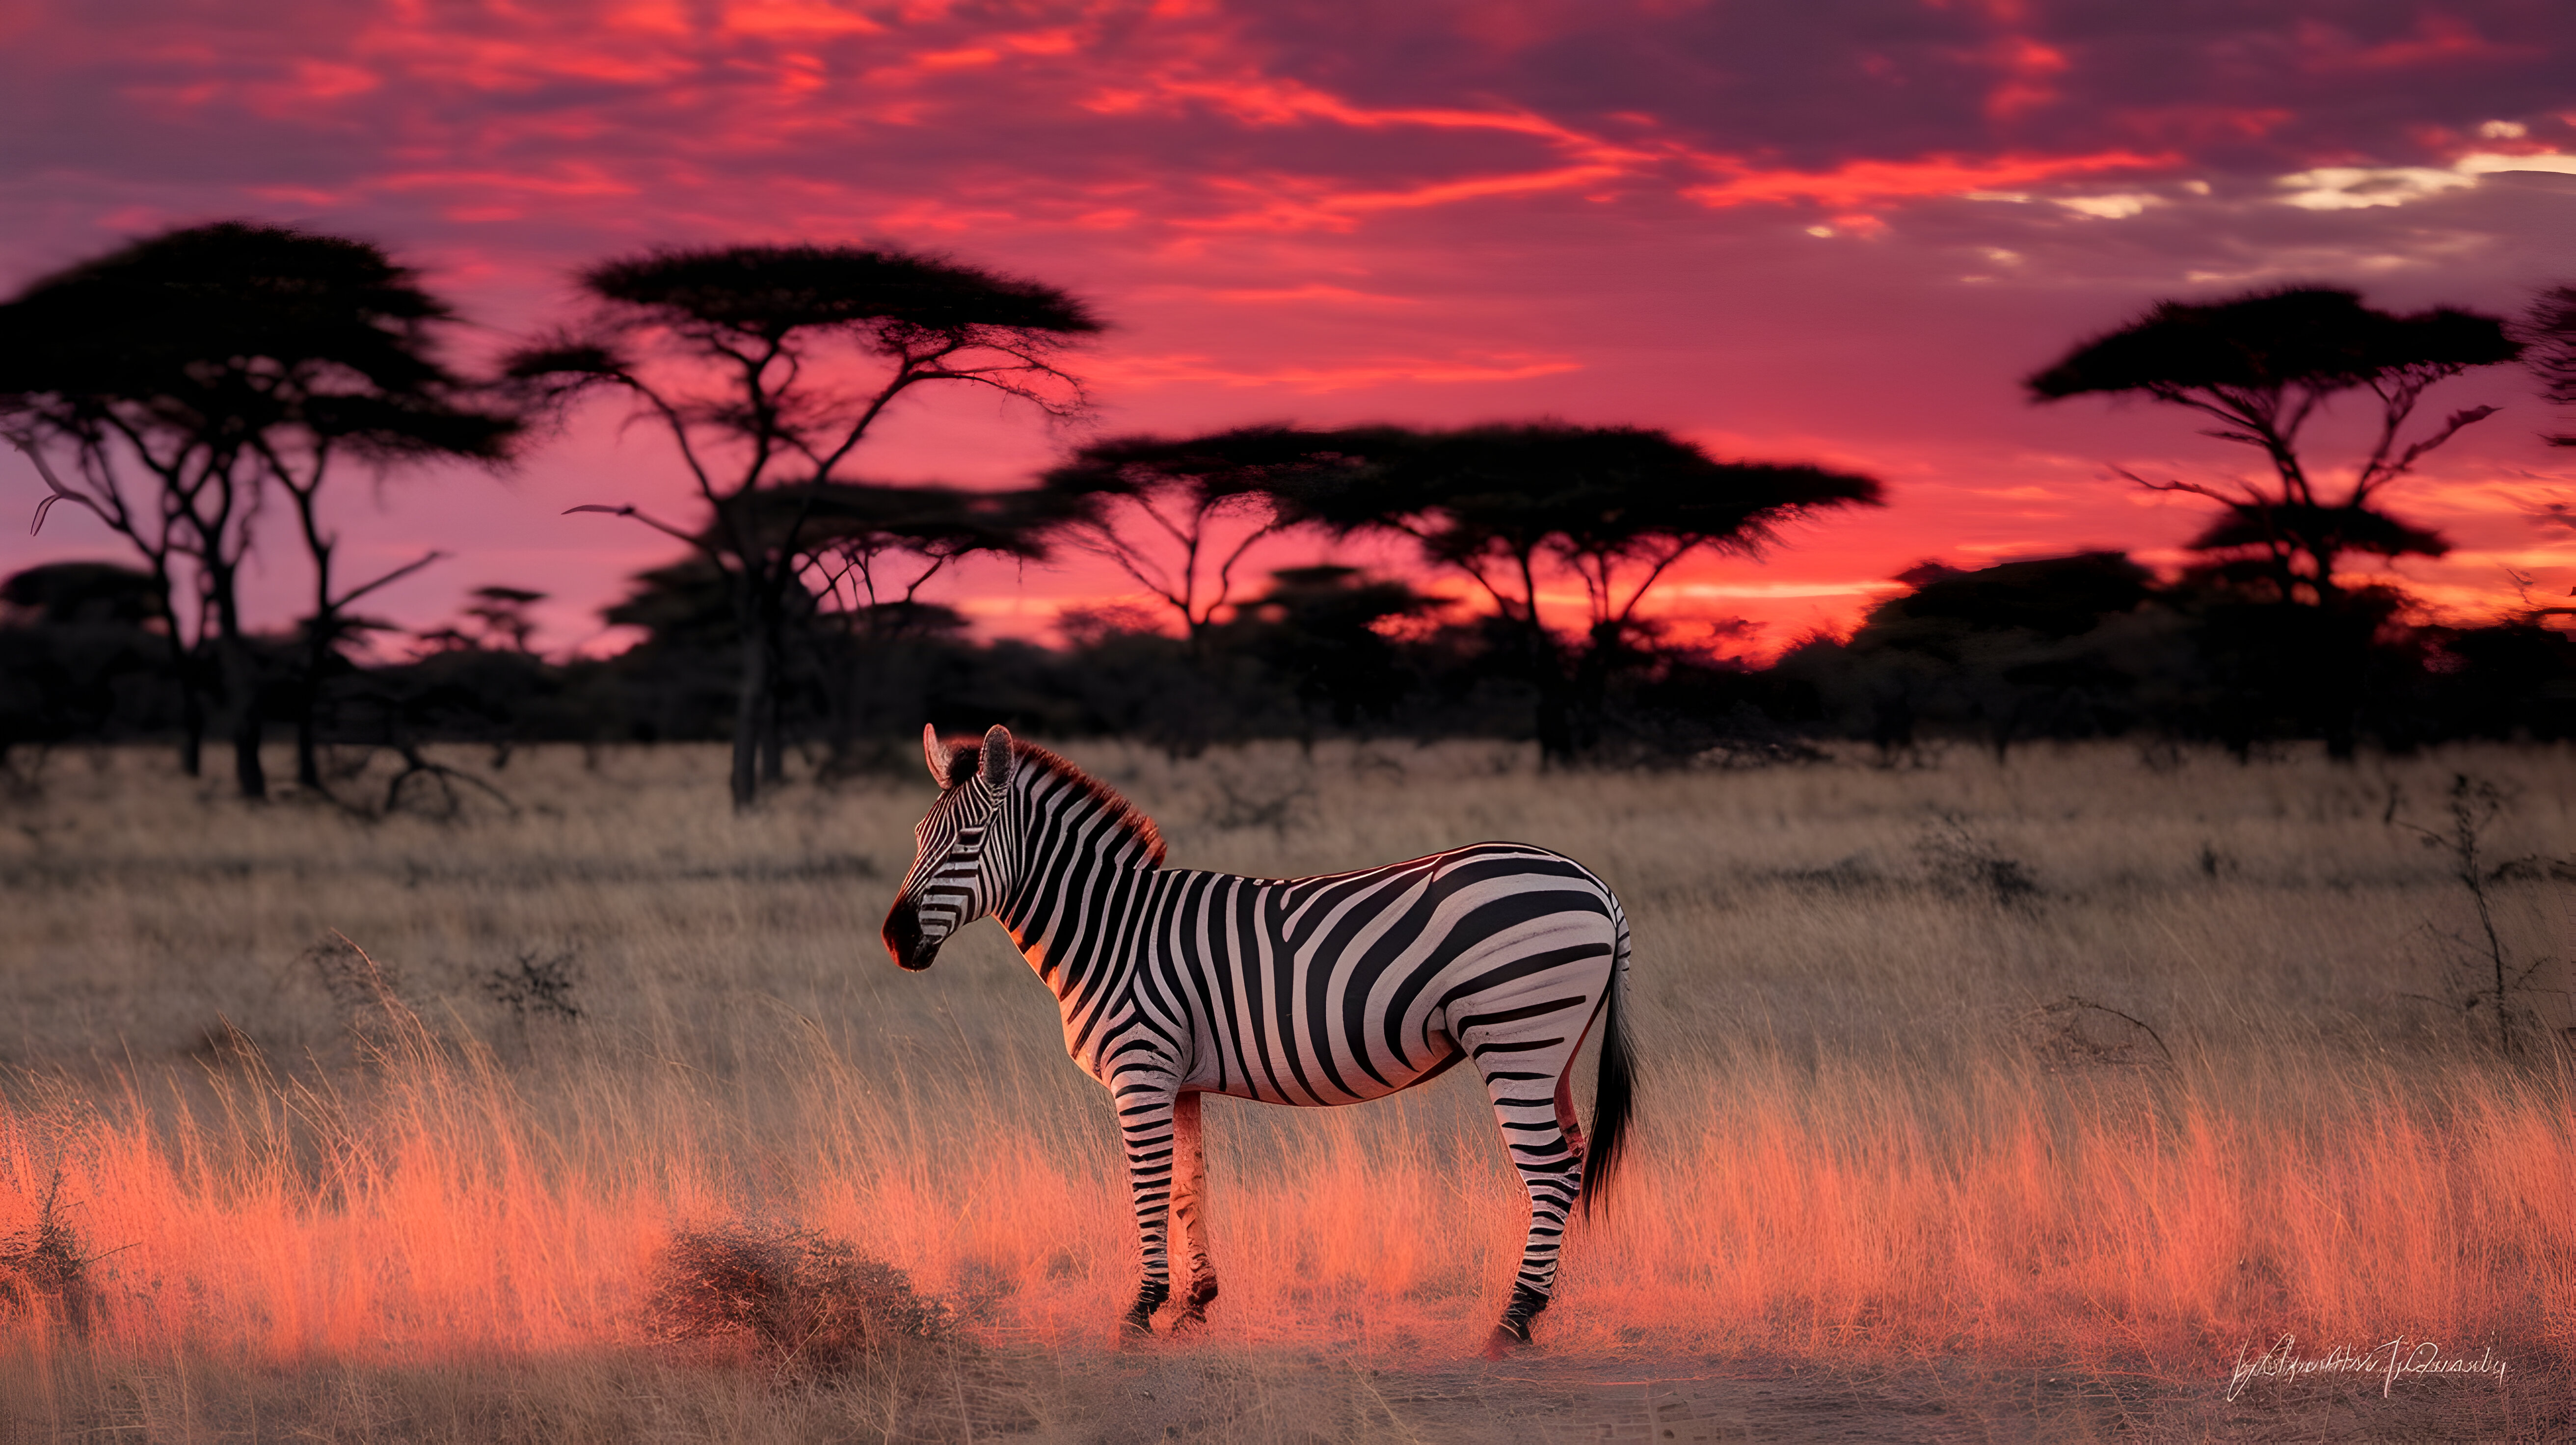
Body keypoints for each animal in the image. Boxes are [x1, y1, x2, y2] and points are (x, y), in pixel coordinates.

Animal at [881, 724, 1636, 1350]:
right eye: (916, 838)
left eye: (968, 842)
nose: (894, 940)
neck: (1113, 929)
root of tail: (1597, 885)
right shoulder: (1178, 1078)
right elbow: (1189, 1183)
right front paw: (1195, 1304)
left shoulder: (1140, 1068)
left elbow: (1148, 1185)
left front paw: (1140, 1311)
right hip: (1552, 1051)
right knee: (1568, 1166)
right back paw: (1535, 1309)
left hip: (1516, 1038)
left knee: (1549, 1172)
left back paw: (1511, 1321)